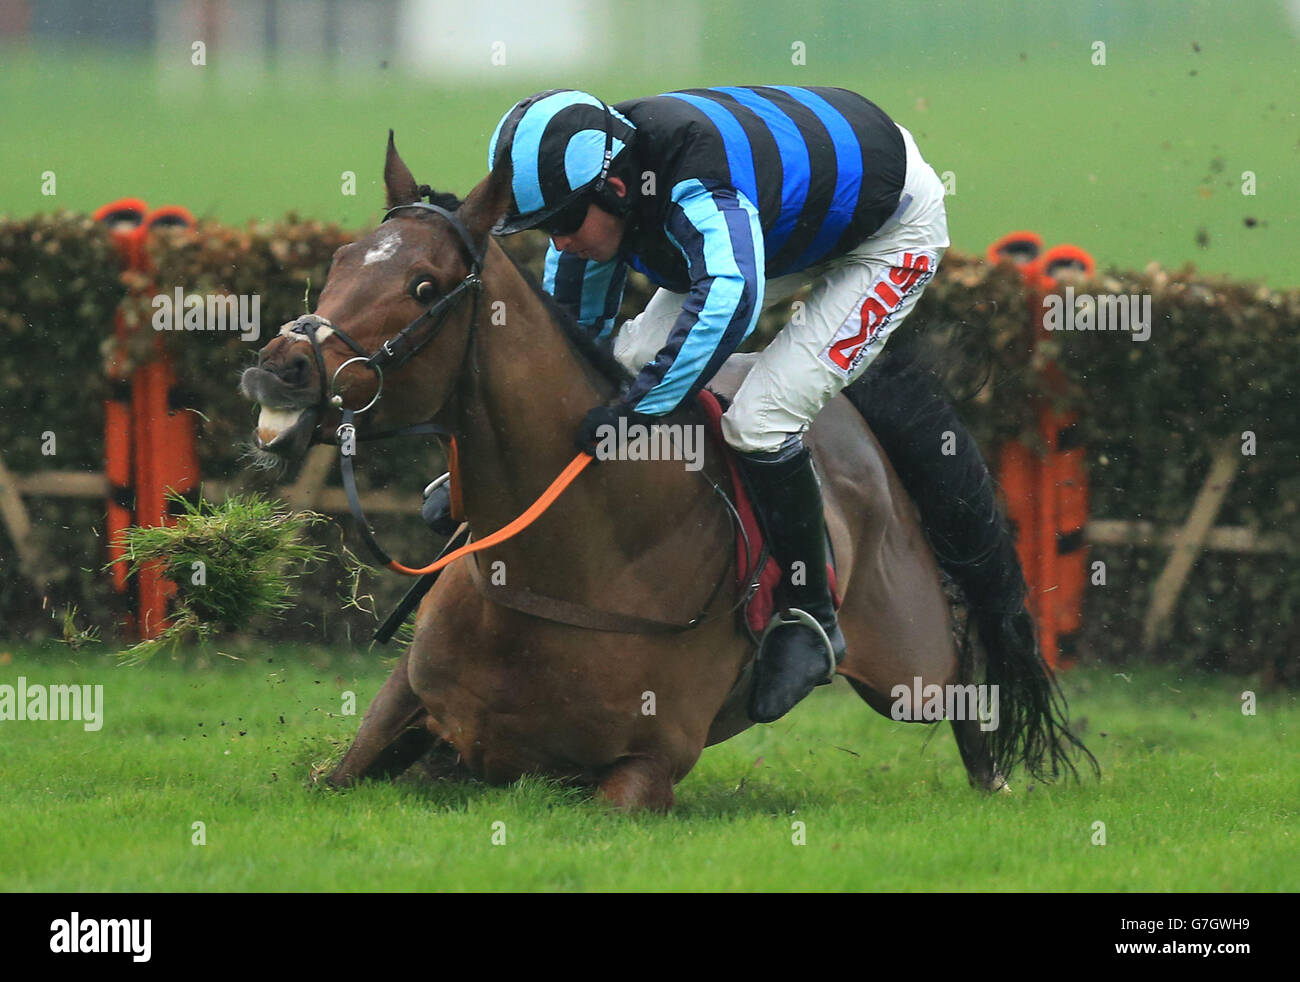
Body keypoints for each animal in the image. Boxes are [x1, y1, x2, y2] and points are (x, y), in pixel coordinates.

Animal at [239, 133, 1095, 811]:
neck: (562, 567)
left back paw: (993, 781)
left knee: (959, 672)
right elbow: (331, 777)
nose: (280, 367)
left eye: (422, 286)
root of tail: (855, 410)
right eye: (340, 260)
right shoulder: (401, 719)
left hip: (906, 659)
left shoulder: (645, 769)